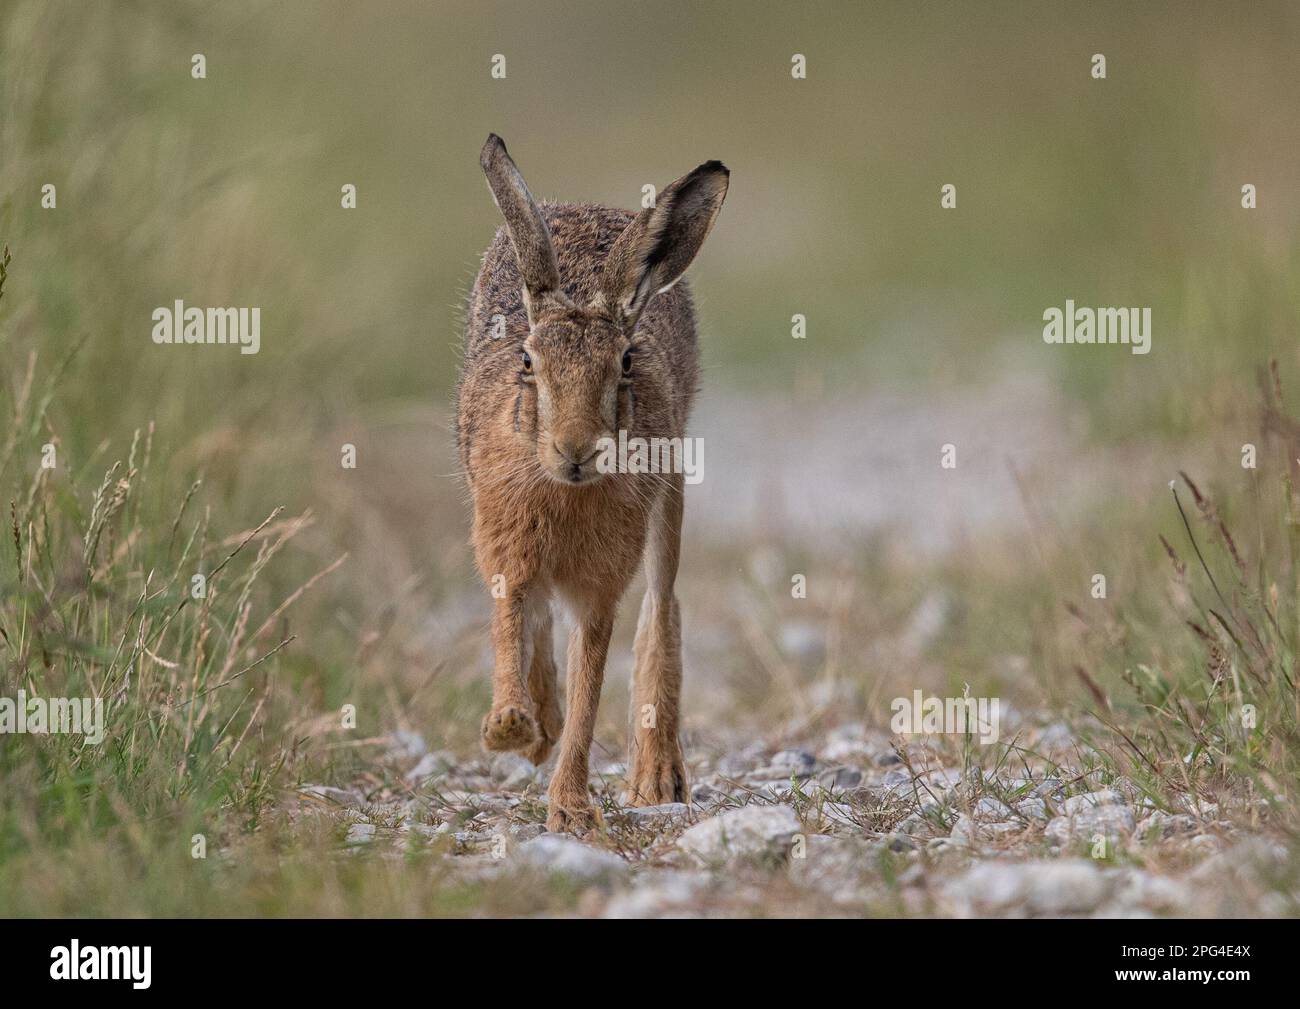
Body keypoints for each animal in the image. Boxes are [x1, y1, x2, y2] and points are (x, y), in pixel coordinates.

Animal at [456, 134, 728, 832]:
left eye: (625, 363)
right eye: (527, 361)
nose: (577, 449)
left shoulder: (601, 588)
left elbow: (591, 687)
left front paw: (574, 812)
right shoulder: (506, 551)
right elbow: (511, 630)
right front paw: (510, 727)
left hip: (670, 502)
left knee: (662, 607)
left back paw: (657, 779)